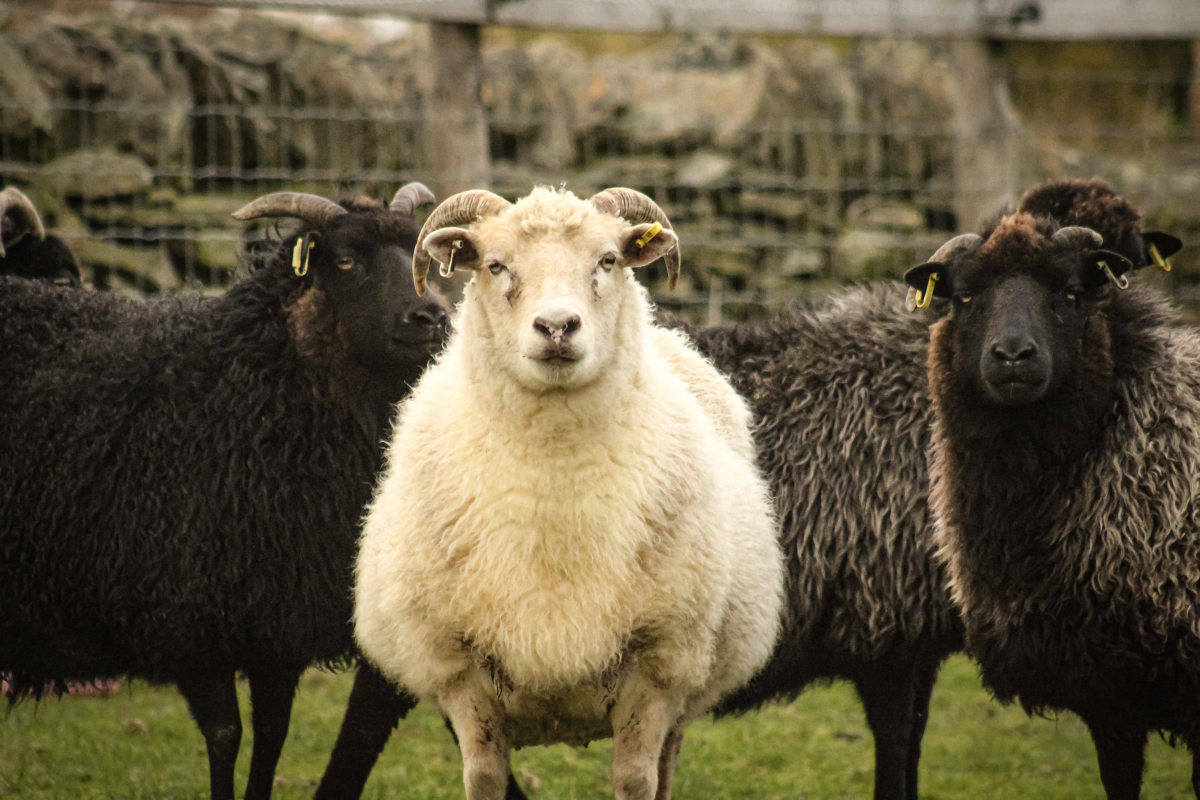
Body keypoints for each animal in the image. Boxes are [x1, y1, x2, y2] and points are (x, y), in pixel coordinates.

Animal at [0, 182, 448, 800]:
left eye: (418, 254)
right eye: (345, 260)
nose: (432, 315)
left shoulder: (279, 619)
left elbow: (272, 734)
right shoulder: (186, 615)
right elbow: (225, 736)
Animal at [352, 186, 785, 800]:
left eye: (607, 260)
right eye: (494, 265)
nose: (557, 326)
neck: (553, 490)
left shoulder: (659, 666)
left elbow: (636, 780)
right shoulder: (457, 667)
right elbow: (483, 776)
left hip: (688, 685)